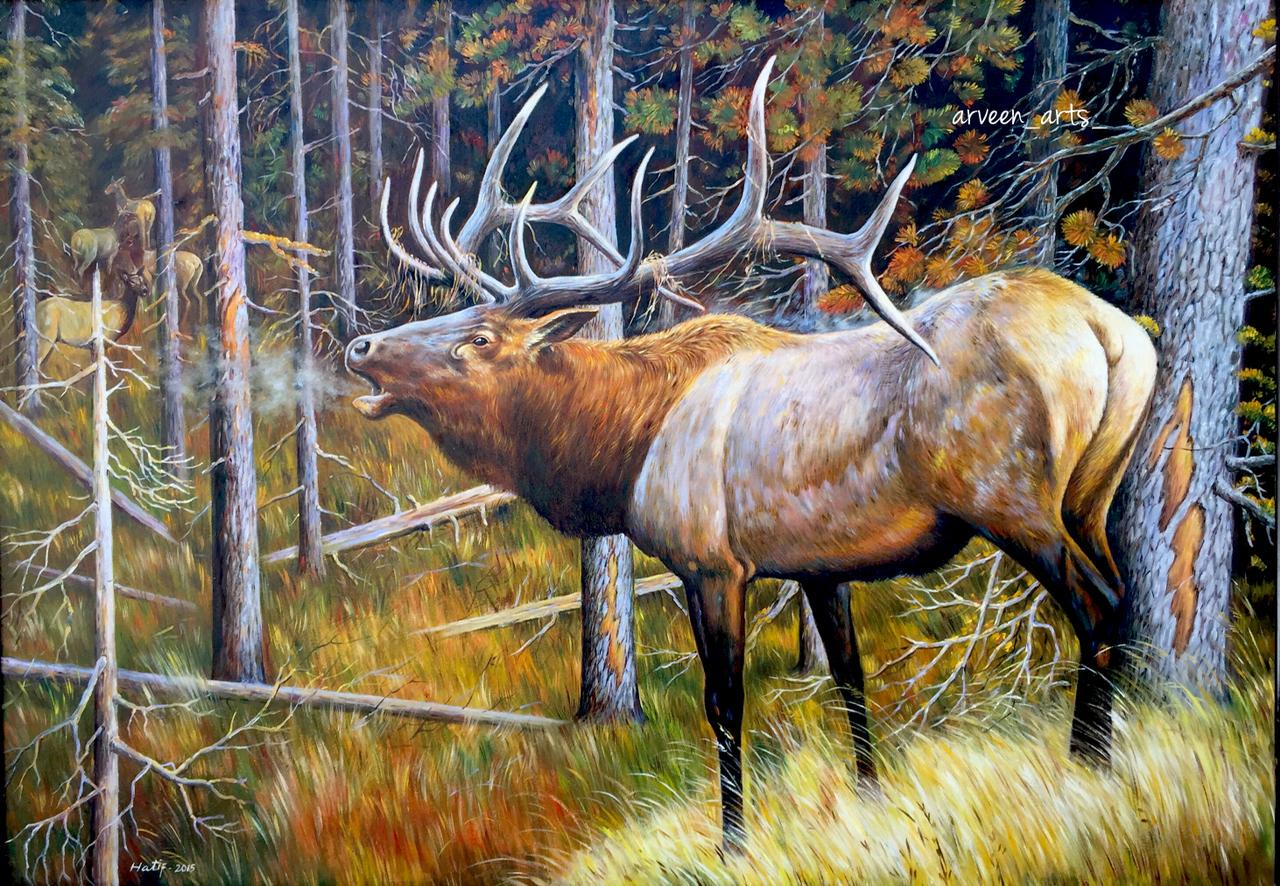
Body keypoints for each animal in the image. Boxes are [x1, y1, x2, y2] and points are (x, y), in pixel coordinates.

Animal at [344, 59, 1157, 853]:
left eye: (478, 339)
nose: (362, 347)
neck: (624, 452)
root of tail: (1109, 330)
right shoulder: (820, 565)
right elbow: (850, 676)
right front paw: (869, 795)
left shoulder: (711, 560)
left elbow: (725, 701)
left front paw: (732, 840)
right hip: (1092, 494)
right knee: (1122, 591)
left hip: (1008, 495)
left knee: (1097, 604)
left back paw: (1088, 767)